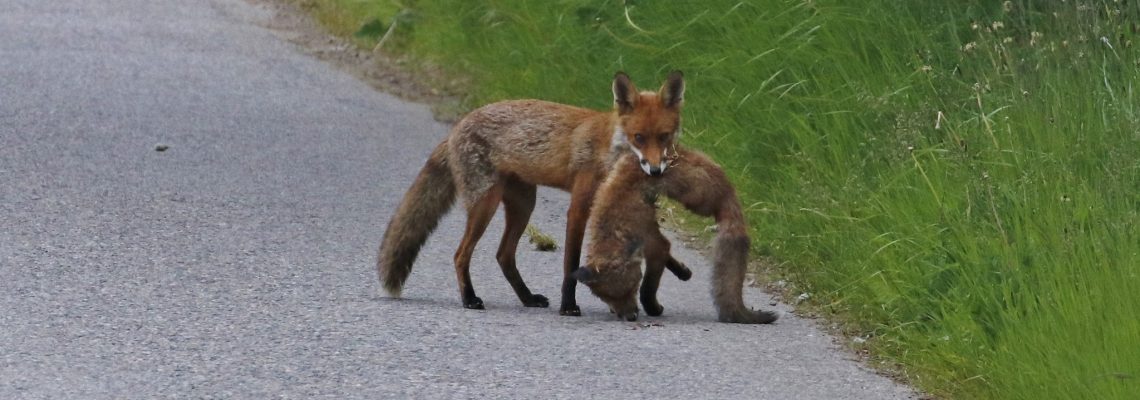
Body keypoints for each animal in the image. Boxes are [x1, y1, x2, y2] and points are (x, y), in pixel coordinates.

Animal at [378, 71, 692, 315]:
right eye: (639, 137)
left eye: (664, 137)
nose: (655, 170)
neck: (611, 149)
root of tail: (458, 126)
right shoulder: (579, 207)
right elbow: (570, 264)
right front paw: (568, 307)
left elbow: (657, 244)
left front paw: (680, 269)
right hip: (485, 204)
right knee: (461, 254)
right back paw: (470, 299)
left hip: (524, 204)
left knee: (503, 255)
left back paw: (527, 298)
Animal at [575, 146, 781, 324]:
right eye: (607, 297)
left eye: (631, 288)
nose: (631, 317)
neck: (614, 227)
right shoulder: (649, 238)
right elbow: (667, 259)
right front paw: (682, 271)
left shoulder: (653, 243)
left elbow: (648, 287)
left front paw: (653, 308)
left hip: (696, 200)